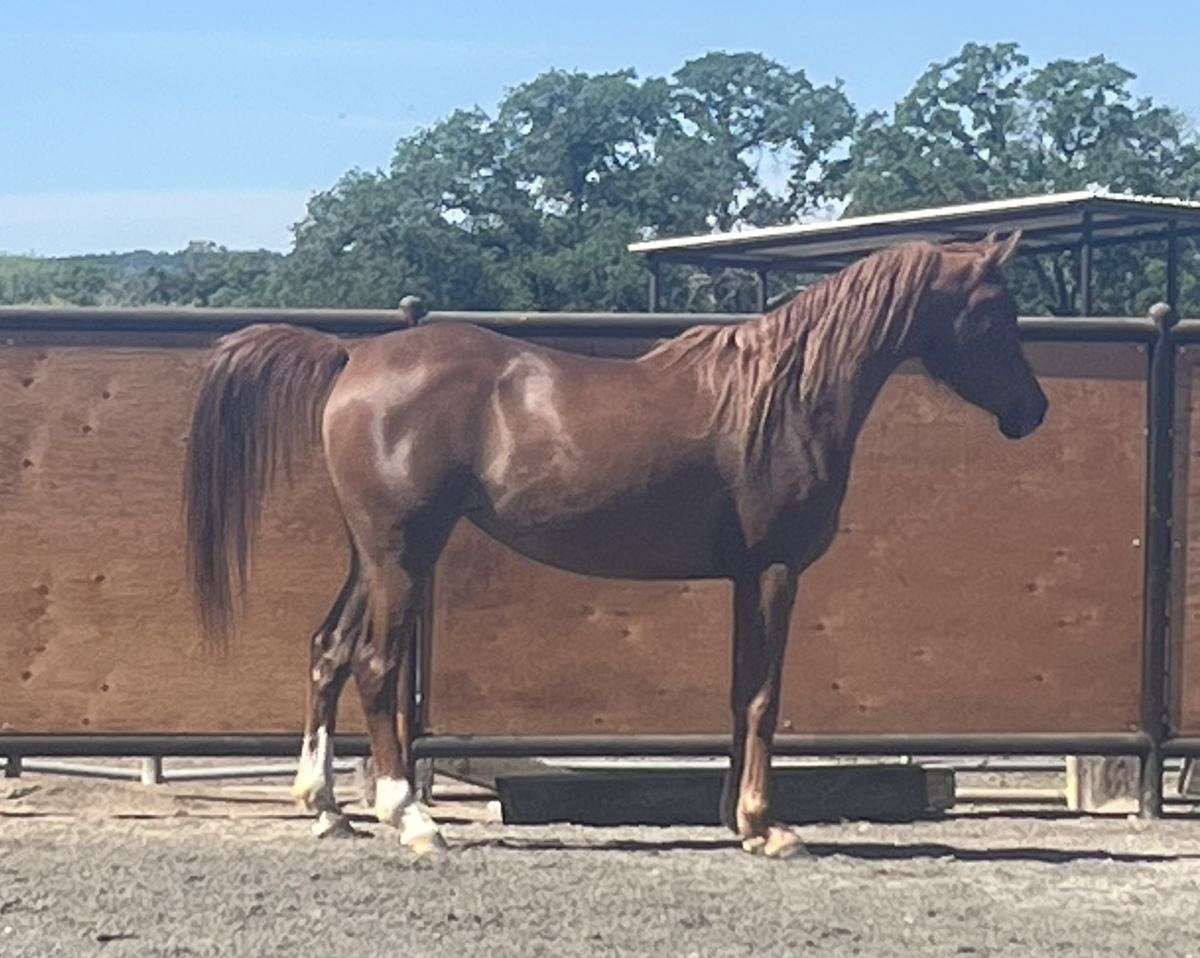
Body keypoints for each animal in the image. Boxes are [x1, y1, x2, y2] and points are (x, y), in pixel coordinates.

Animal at [184, 232, 1046, 858]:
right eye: (996, 312)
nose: (1032, 411)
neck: (785, 397)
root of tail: (354, 355)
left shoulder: (743, 577)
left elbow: (740, 693)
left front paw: (738, 820)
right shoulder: (774, 571)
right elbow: (764, 698)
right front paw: (768, 828)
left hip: (372, 555)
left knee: (327, 652)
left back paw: (327, 809)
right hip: (401, 556)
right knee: (373, 666)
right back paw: (412, 821)